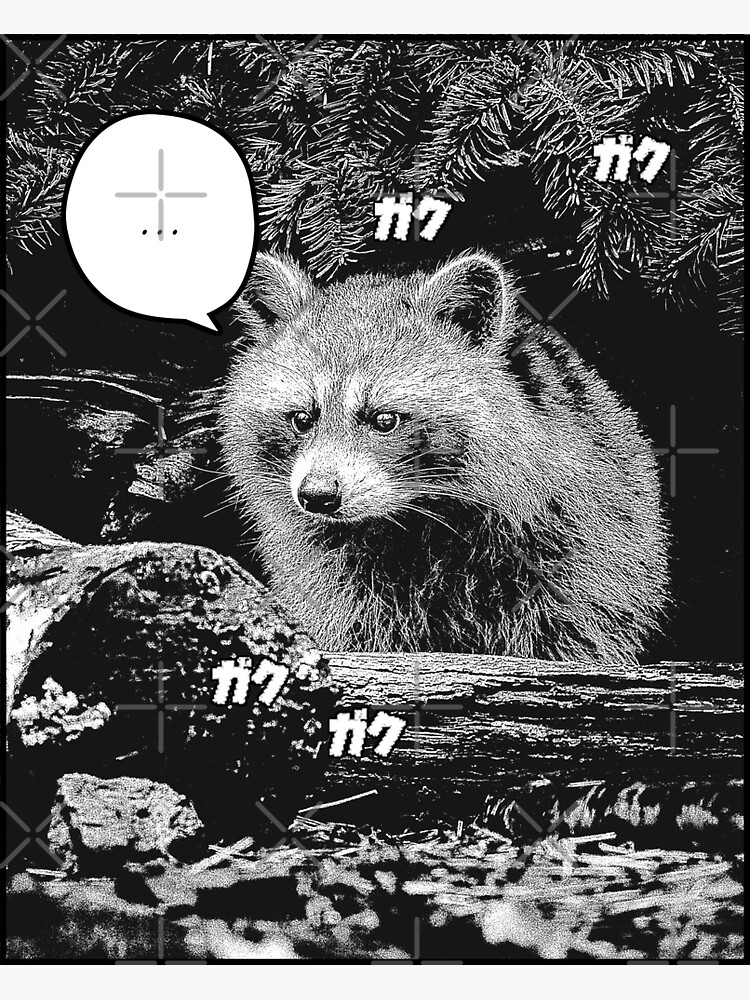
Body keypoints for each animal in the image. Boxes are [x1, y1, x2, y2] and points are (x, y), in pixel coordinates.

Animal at [219, 251, 669, 662]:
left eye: (385, 420)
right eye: (302, 418)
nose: (317, 495)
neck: (410, 521)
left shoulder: (571, 553)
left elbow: (571, 630)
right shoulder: (334, 579)